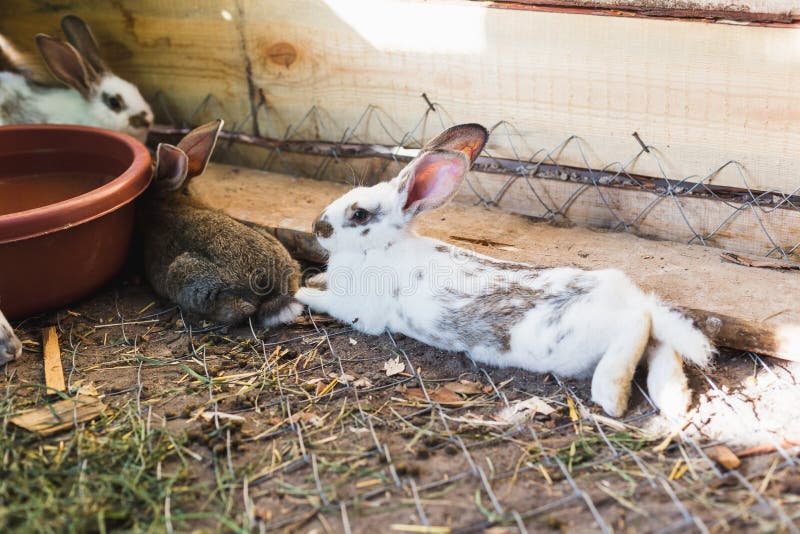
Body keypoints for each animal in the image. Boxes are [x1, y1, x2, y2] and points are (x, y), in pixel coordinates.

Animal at [295, 124, 715, 417]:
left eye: (359, 214)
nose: (317, 227)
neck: (379, 248)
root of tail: (631, 298)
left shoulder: (359, 312)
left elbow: (324, 300)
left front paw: (300, 292)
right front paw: (312, 278)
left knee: (636, 331)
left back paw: (611, 395)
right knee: (661, 347)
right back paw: (675, 399)